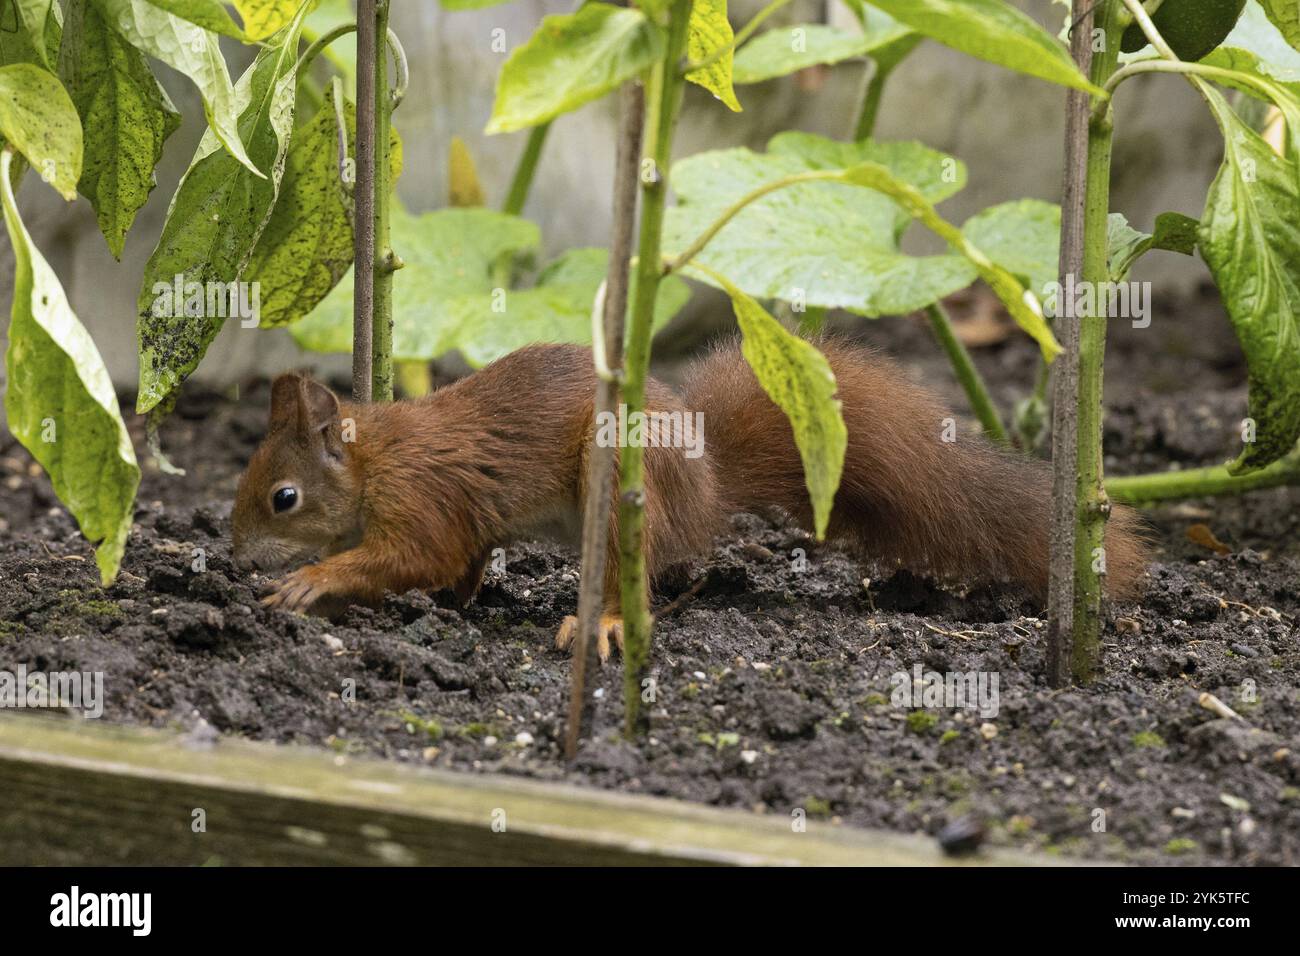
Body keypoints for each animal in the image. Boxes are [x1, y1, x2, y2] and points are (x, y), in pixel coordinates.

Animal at [231, 340, 1148, 659]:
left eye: (282, 498)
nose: (232, 548)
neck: (374, 459)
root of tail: (706, 487)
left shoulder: (419, 501)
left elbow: (412, 554)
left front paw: (309, 583)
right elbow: (460, 556)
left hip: (618, 492)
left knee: (636, 572)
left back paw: (600, 621)